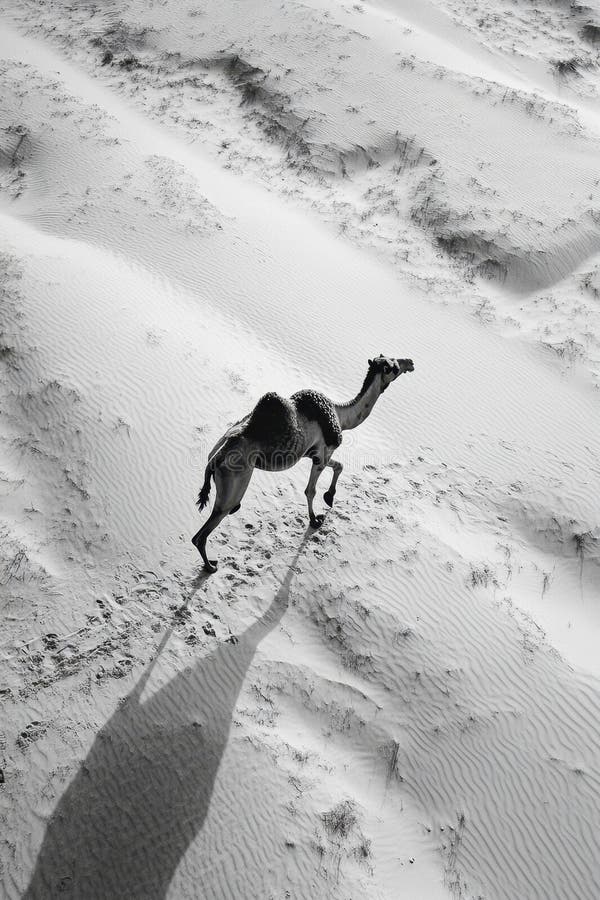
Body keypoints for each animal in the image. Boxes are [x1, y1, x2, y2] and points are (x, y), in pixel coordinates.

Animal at [192, 355, 414, 571]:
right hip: (234, 481)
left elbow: (339, 466)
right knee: (207, 527)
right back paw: (210, 566)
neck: (341, 417)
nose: (410, 363)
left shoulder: (314, 454)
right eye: (394, 366)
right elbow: (310, 490)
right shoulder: (322, 454)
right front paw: (315, 519)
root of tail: (216, 458)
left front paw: (329, 497)